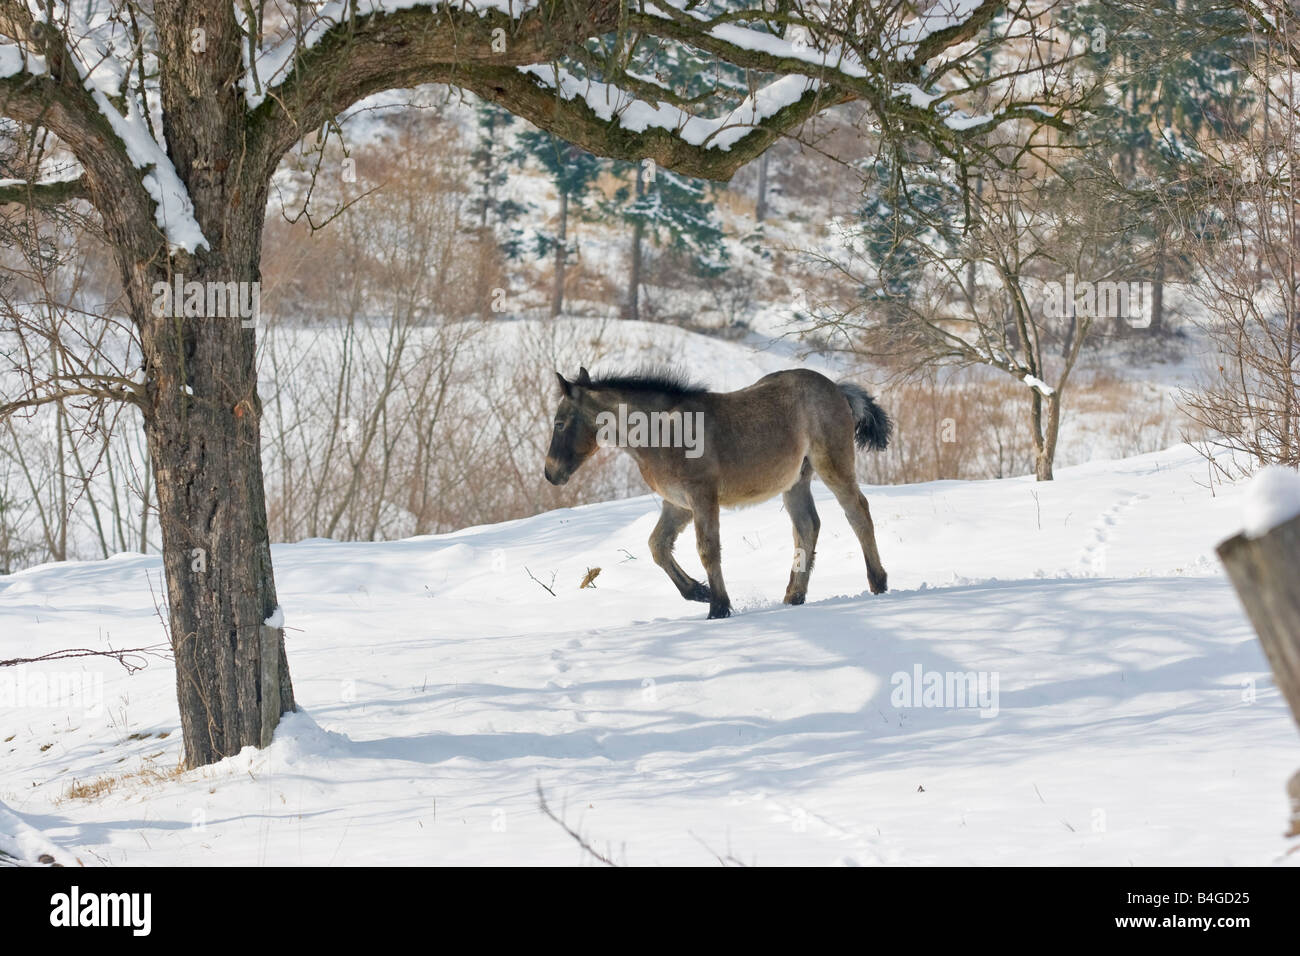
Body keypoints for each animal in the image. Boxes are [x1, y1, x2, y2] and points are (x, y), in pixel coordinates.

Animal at [544, 365, 892, 619]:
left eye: (559, 423)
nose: (550, 473)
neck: (661, 431)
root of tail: (837, 388)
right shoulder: (678, 504)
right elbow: (658, 546)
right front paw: (699, 592)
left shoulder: (701, 498)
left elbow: (707, 550)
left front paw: (719, 607)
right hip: (796, 481)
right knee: (807, 525)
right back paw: (794, 596)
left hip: (832, 464)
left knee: (857, 512)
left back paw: (878, 583)